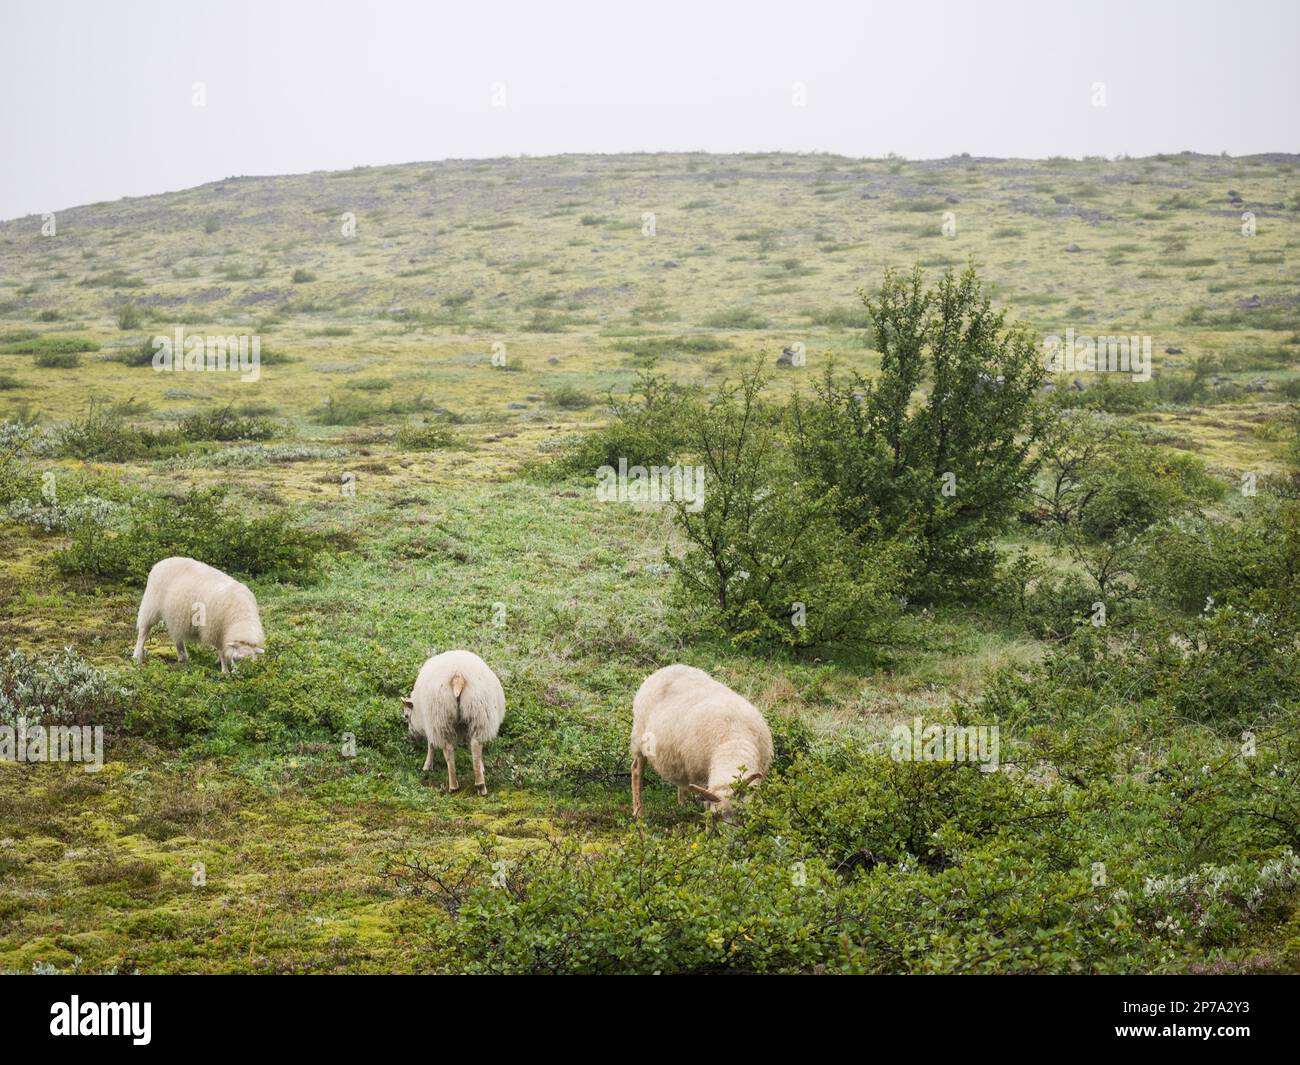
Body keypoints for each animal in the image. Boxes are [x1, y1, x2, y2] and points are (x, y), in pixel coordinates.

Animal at [132, 557, 266, 673]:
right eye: (235, 659)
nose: (240, 676)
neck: (241, 616)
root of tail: (160, 563)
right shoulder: (216, 630)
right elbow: (222, 652)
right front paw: (225, 671)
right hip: (151, 605)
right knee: (143, 631)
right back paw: (137, 657)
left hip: (175, 614)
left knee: (177, 635)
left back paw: (183, 657)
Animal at [402, 650, 505, 796]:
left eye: (406, 716)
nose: (410, 736)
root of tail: (458, 676)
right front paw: (481, 767)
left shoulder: (430, 723)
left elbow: (431, 744)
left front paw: (427, 765)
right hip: (479, 713)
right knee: (476, 745)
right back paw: (480, 785)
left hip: (440, 717)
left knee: (448, 750)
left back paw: (453, 786)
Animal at [630, 664, 773, 820]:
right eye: (716, 816)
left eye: (741, 814)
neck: (732, 743)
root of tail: (668, 667)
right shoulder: (701, 780)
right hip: (639, 738)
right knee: (636, 770)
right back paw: (639, 812)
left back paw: (682, 807)